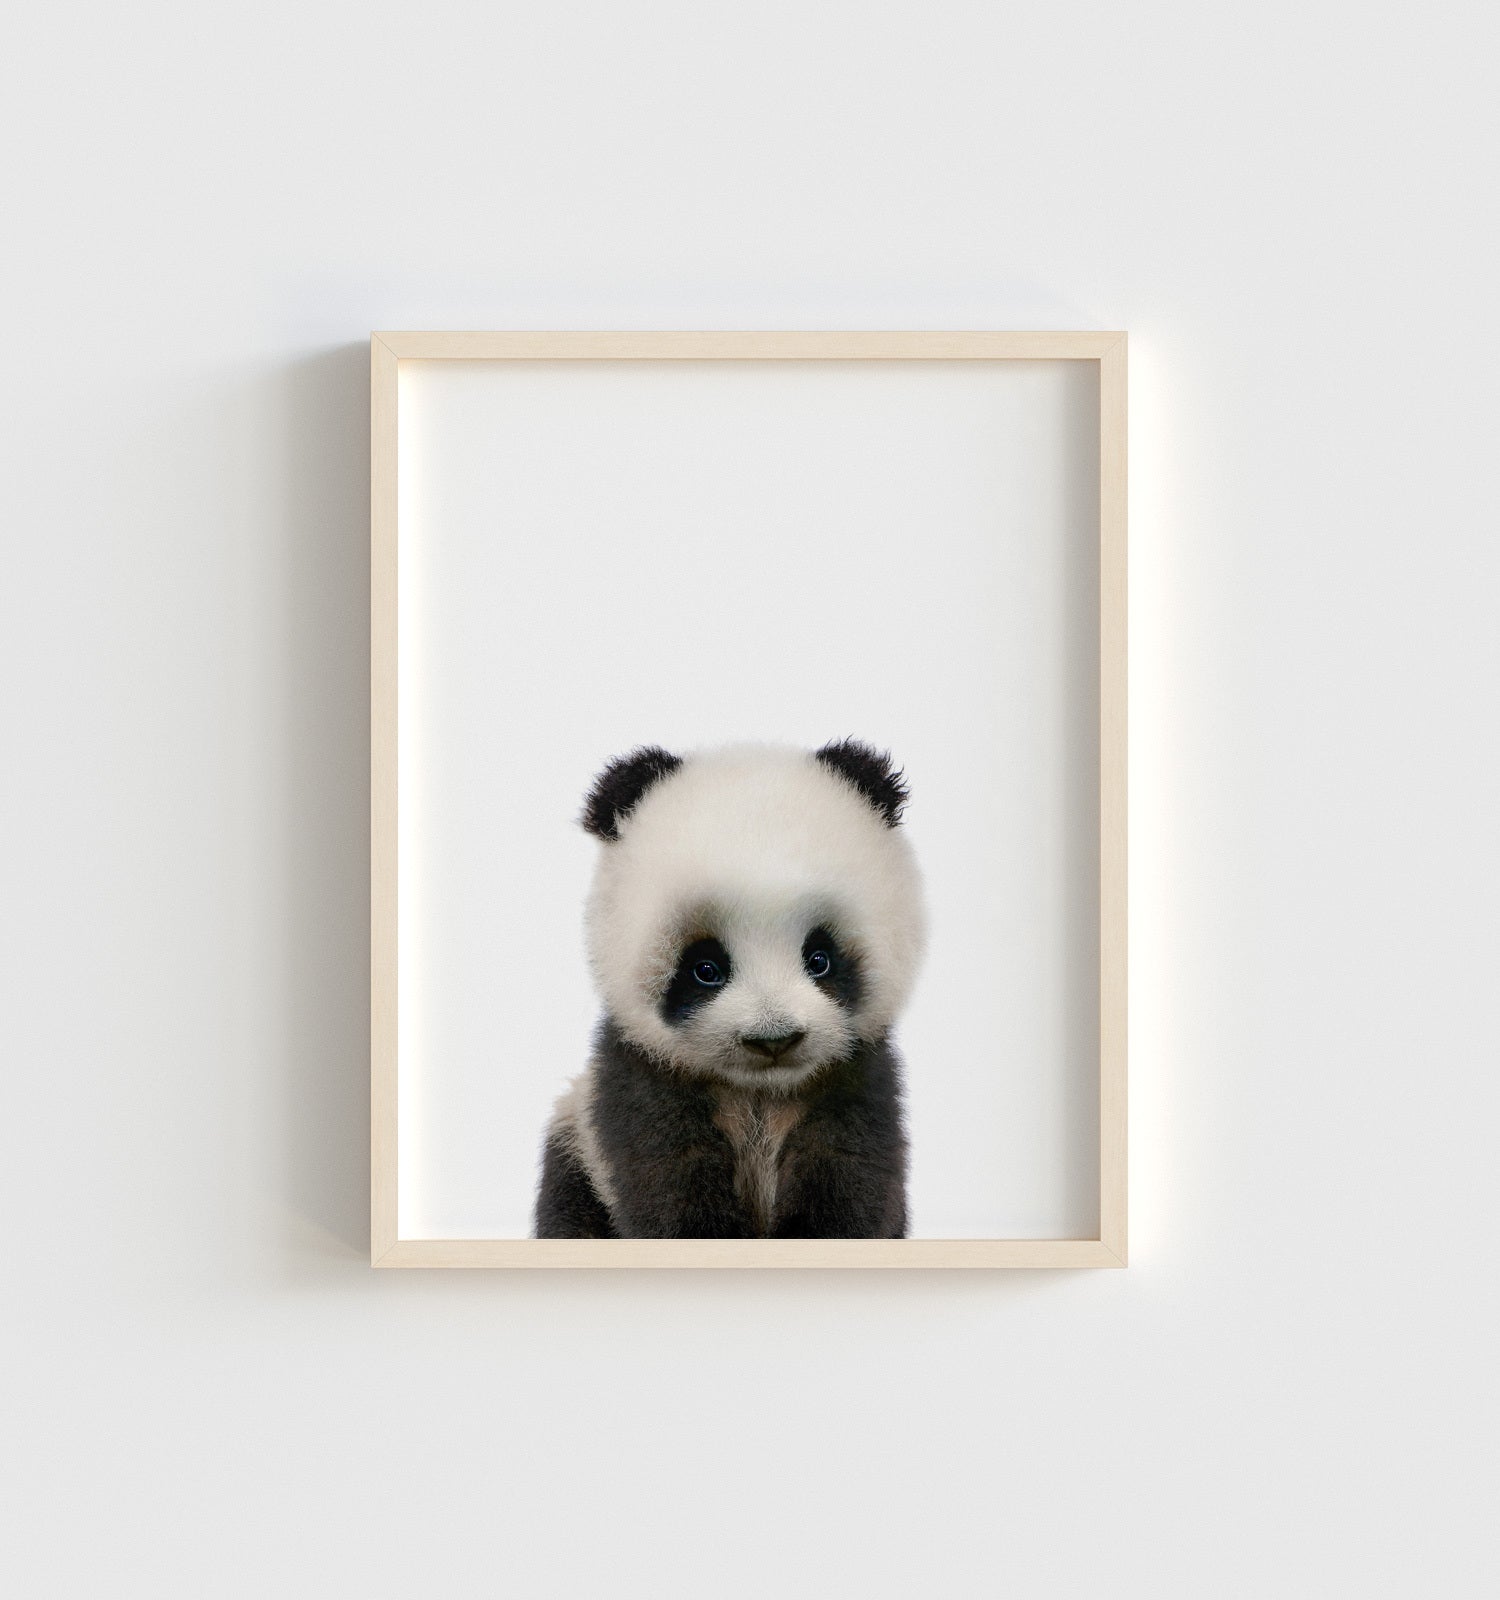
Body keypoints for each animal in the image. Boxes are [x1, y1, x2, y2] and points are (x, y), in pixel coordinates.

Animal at [533, 737, 926, 1239]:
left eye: (819, 959)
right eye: (705, 968)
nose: (774, 1040)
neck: (758, 1090)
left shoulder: (856, 1074)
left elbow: (849, 1167)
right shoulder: (638, 1074)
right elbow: (666, 1171)